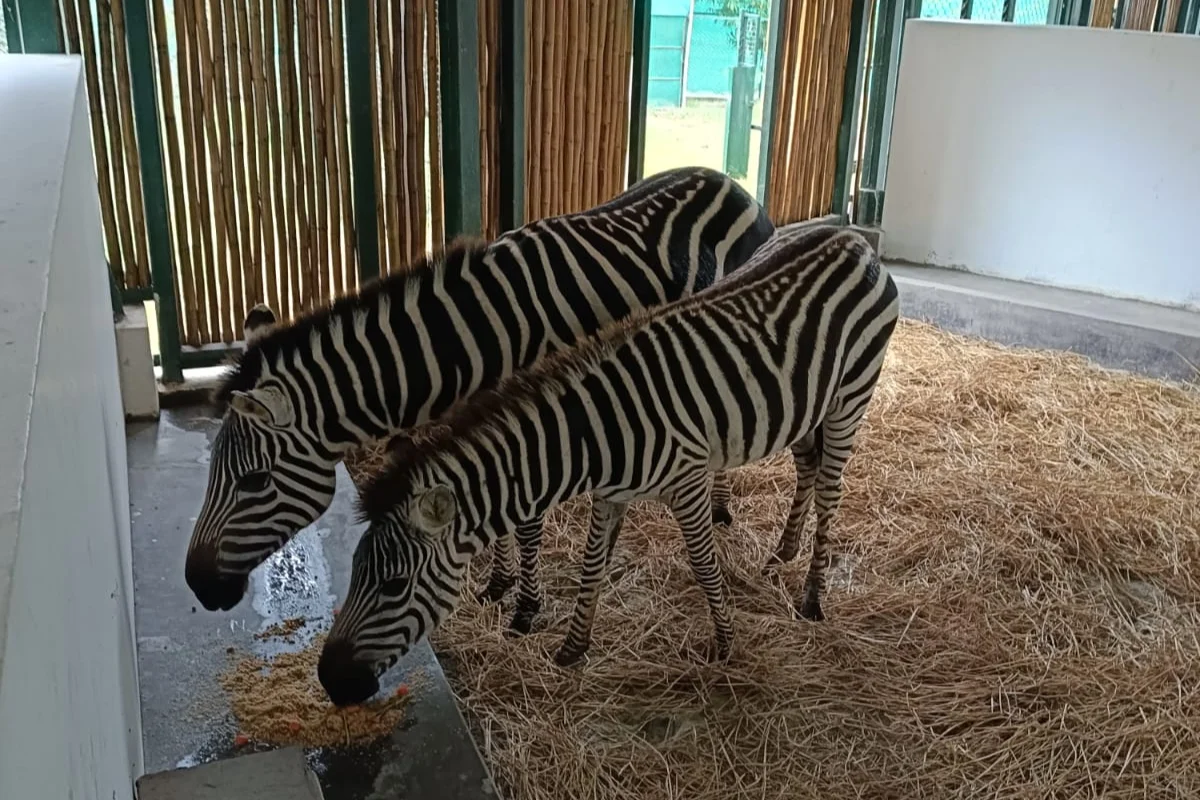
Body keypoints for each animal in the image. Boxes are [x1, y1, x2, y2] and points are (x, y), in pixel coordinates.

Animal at [183, 165, 775, 633]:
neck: (470, 341)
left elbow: (525, 519)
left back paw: (721, 508)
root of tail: (725, 179)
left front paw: (526, 606)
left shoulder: (535, 422)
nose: (196, 585)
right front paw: (497, 581)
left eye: (253, 481)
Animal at [317, 224, 899, 707]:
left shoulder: (688, 482)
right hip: (803, 406)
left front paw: (725, 644)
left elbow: (704, 565)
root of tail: (853, 237)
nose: (329, 680)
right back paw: (783, 552)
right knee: (808, 469)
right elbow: (592, 565)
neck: (595, 435)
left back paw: (812, 597)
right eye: (355, 568)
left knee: (830, 489)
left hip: (850, 397)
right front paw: (572, 649)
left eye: (394, 586)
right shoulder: (611, 492)